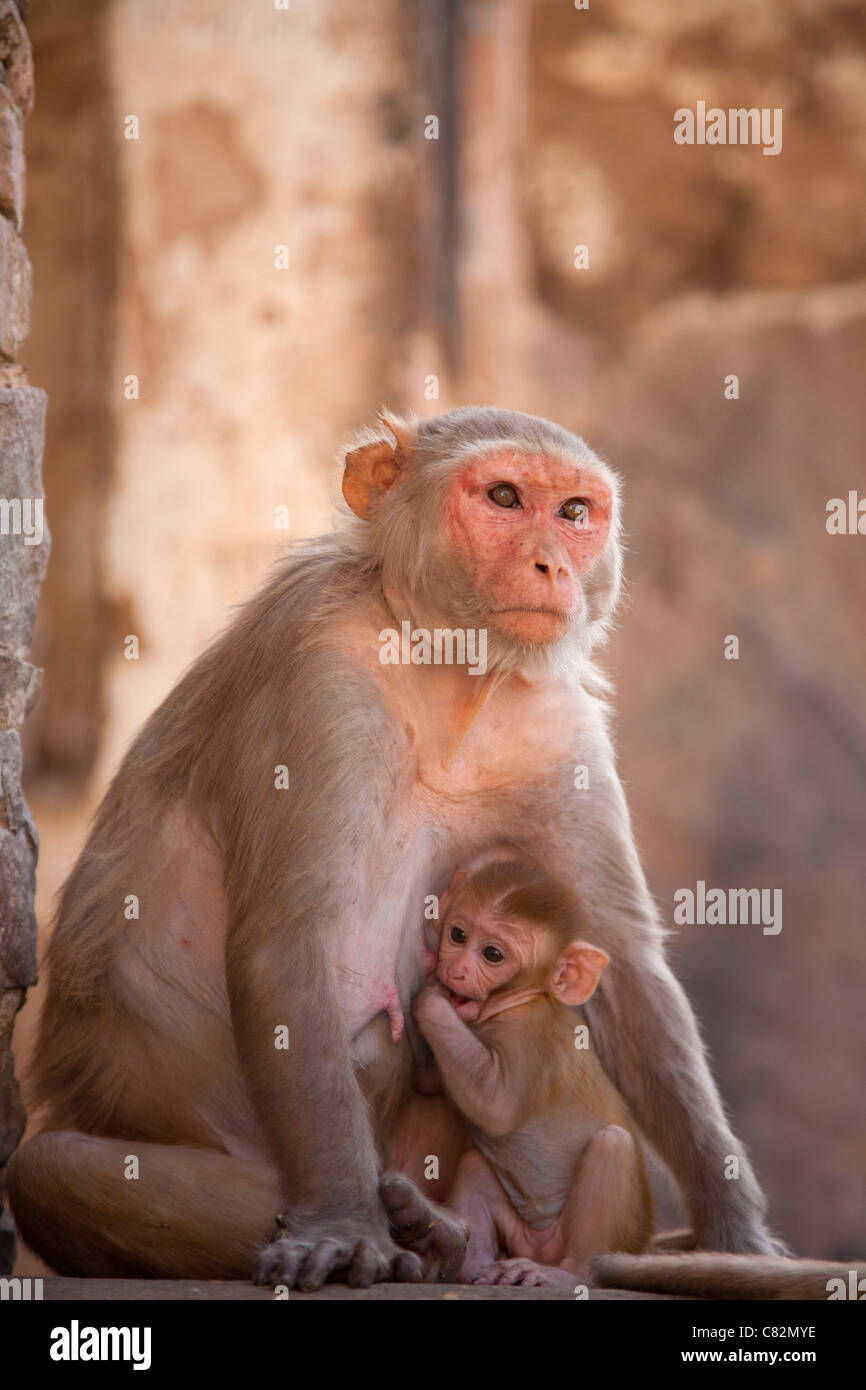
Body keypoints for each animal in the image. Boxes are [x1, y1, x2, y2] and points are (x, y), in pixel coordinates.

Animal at [413, 859, 653, 1287]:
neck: (515, 1003)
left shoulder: (530, 1038)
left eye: (492, 954)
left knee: (613, 1145)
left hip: (607, 1237)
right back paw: (472, 1263)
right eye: (458, 935)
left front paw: (431, 999)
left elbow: (495, 1106)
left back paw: (568, 1274)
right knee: (474, 1164)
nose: (456, 970)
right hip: (521, 1234)